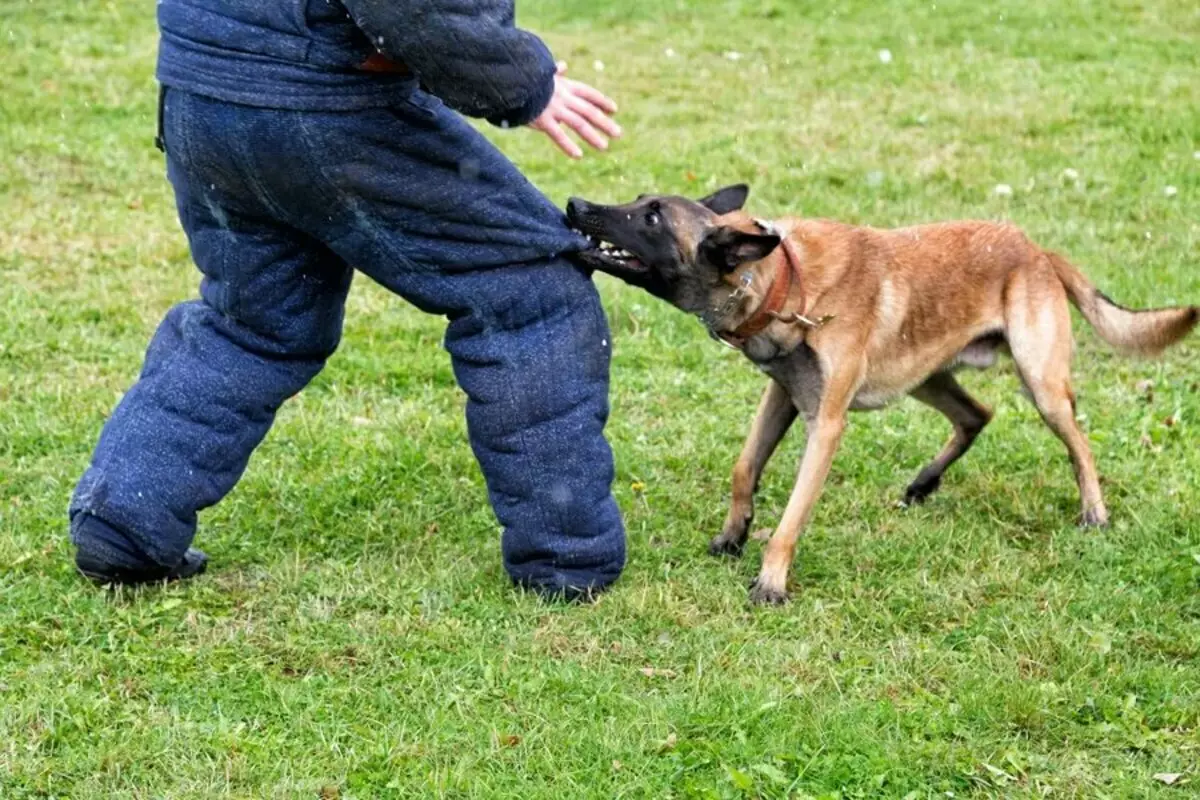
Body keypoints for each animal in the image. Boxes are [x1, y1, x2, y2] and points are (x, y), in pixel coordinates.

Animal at [564, 185, 1200, 599]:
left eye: (651, 218)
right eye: (638, 201)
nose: (576, 206)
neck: (785, 282)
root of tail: (1036, 250)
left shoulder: (825, 423)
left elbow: (791, 516)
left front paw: (771, 580)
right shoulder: (783, 397)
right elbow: (744, 468)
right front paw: (732, 535)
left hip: (1039, 382)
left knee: (1078, 443)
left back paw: (1094, 512)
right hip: (925, 376)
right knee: (977, 414)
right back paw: (924, 483)